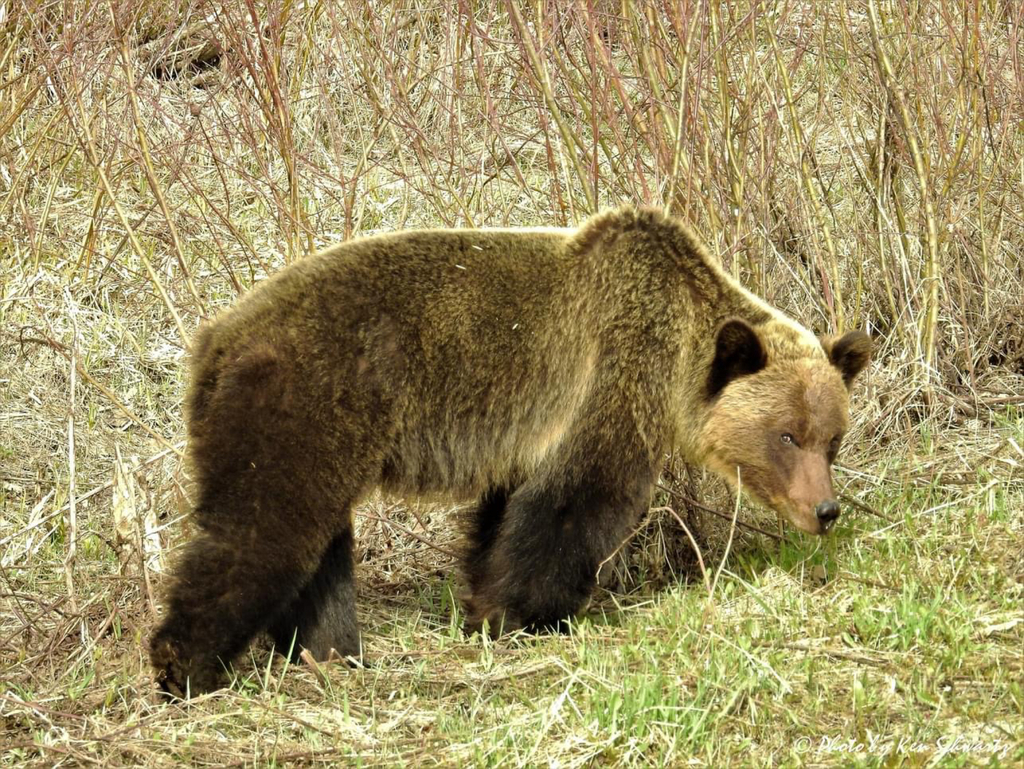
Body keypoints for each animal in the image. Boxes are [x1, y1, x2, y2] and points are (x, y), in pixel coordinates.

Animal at [150, 205, 871, 697]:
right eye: (788, 434)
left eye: (832, 436)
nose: (825, 509)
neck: (678, 357)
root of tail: (213, 340)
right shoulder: (609, 376)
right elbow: (573, 504)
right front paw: (528, 616)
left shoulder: (526, 434)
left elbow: (499, 519)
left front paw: (483, 604)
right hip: (307, 404)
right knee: (263, 530)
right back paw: (186, 666)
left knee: (317, 546)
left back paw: (329, 651)